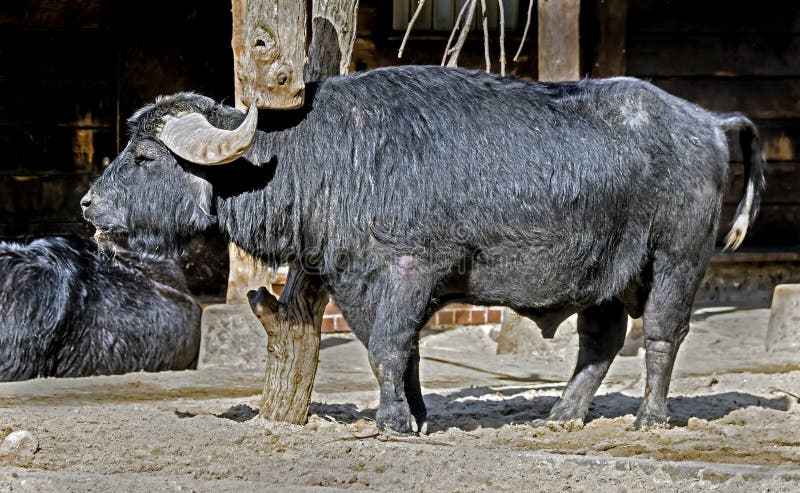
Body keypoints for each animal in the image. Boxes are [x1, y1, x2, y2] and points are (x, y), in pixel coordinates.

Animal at [82, 66, 764, 433]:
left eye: (144, 158)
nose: (89, 205)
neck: (330, 159)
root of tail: (706, 119)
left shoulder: (408, 270)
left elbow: (387, 347)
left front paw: (388, 422)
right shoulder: (360, 281)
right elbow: (402, 352)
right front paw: (414, 416)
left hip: (675, 259)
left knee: (663, 336)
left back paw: (652, 416)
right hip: (605, 272)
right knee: (600, 340)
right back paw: (563, 413)